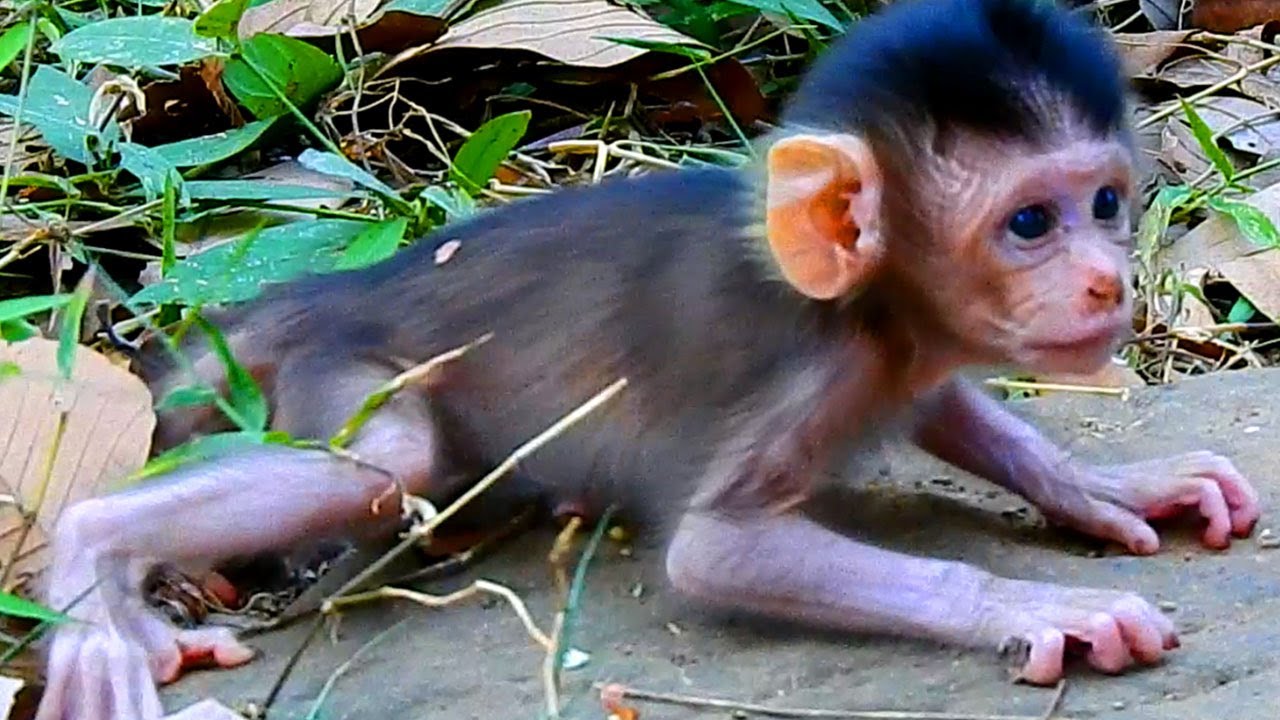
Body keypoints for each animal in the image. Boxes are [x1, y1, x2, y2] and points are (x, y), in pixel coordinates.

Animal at [35, 1, 1261, 718]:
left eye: (1106, 205)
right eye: (1029, 225)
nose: (1108, 282)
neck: (862, 305)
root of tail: (336, 286)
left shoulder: (895, 354)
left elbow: (947, 409)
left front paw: (1110, 487)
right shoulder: (809, 364)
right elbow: (714, 554)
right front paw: (1037, 606)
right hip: (349, 362)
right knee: (387, 461)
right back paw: (96, 569)